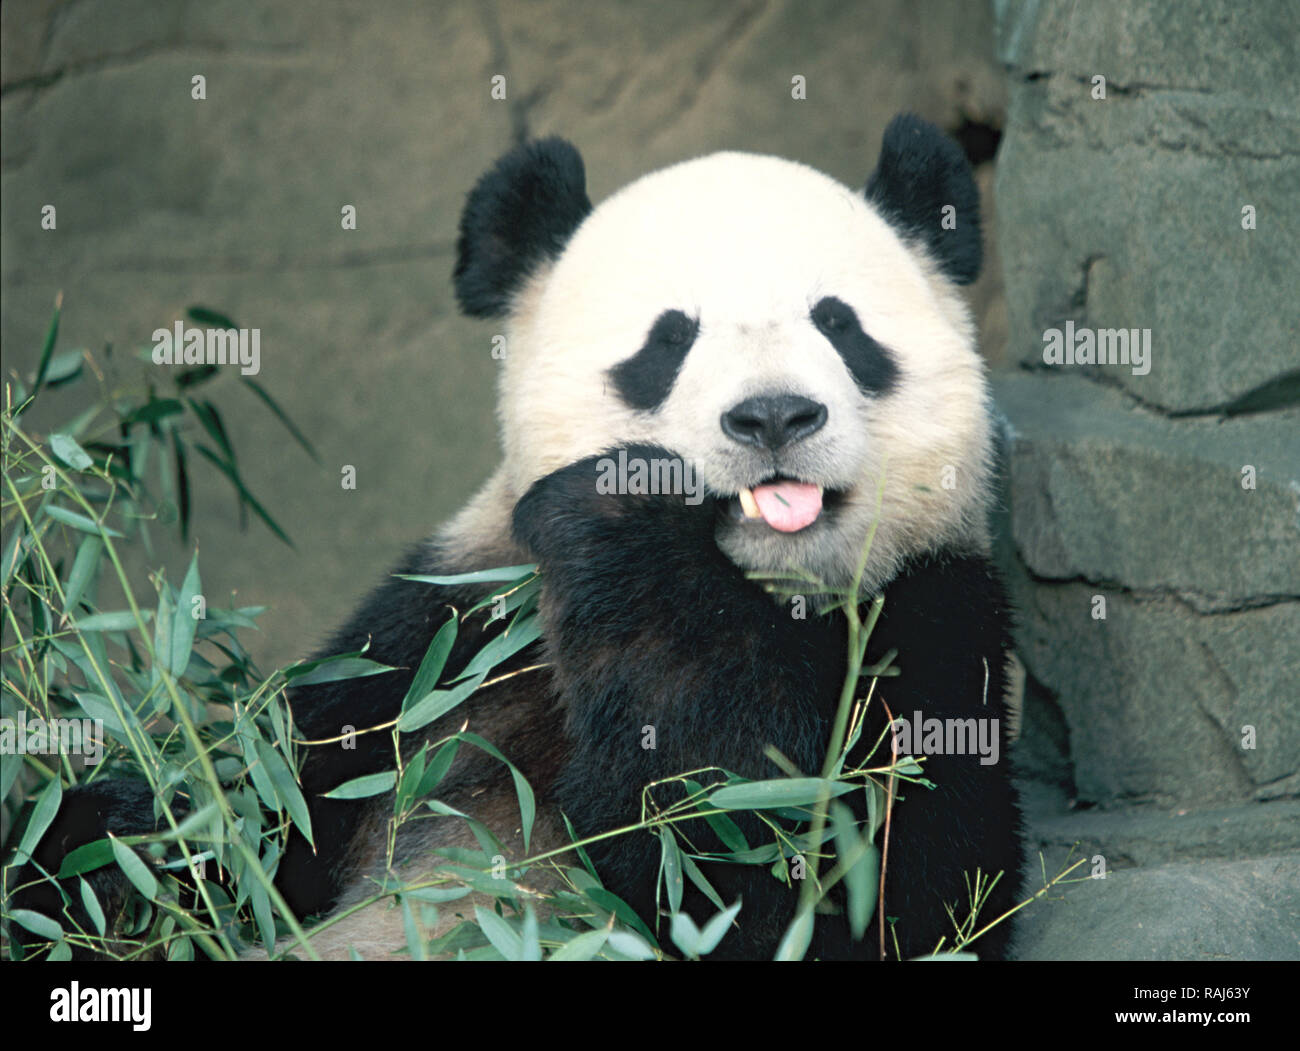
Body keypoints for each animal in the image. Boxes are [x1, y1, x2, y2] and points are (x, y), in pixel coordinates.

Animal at [11, 114, 1022, 961]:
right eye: (668, 340)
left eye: (840, 324)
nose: (773, 415)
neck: (767, 588)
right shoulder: (440, 643)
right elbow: (255, 807)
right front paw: (112, 841)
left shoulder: (936, 621)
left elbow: (820, 875)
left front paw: (627, 527)